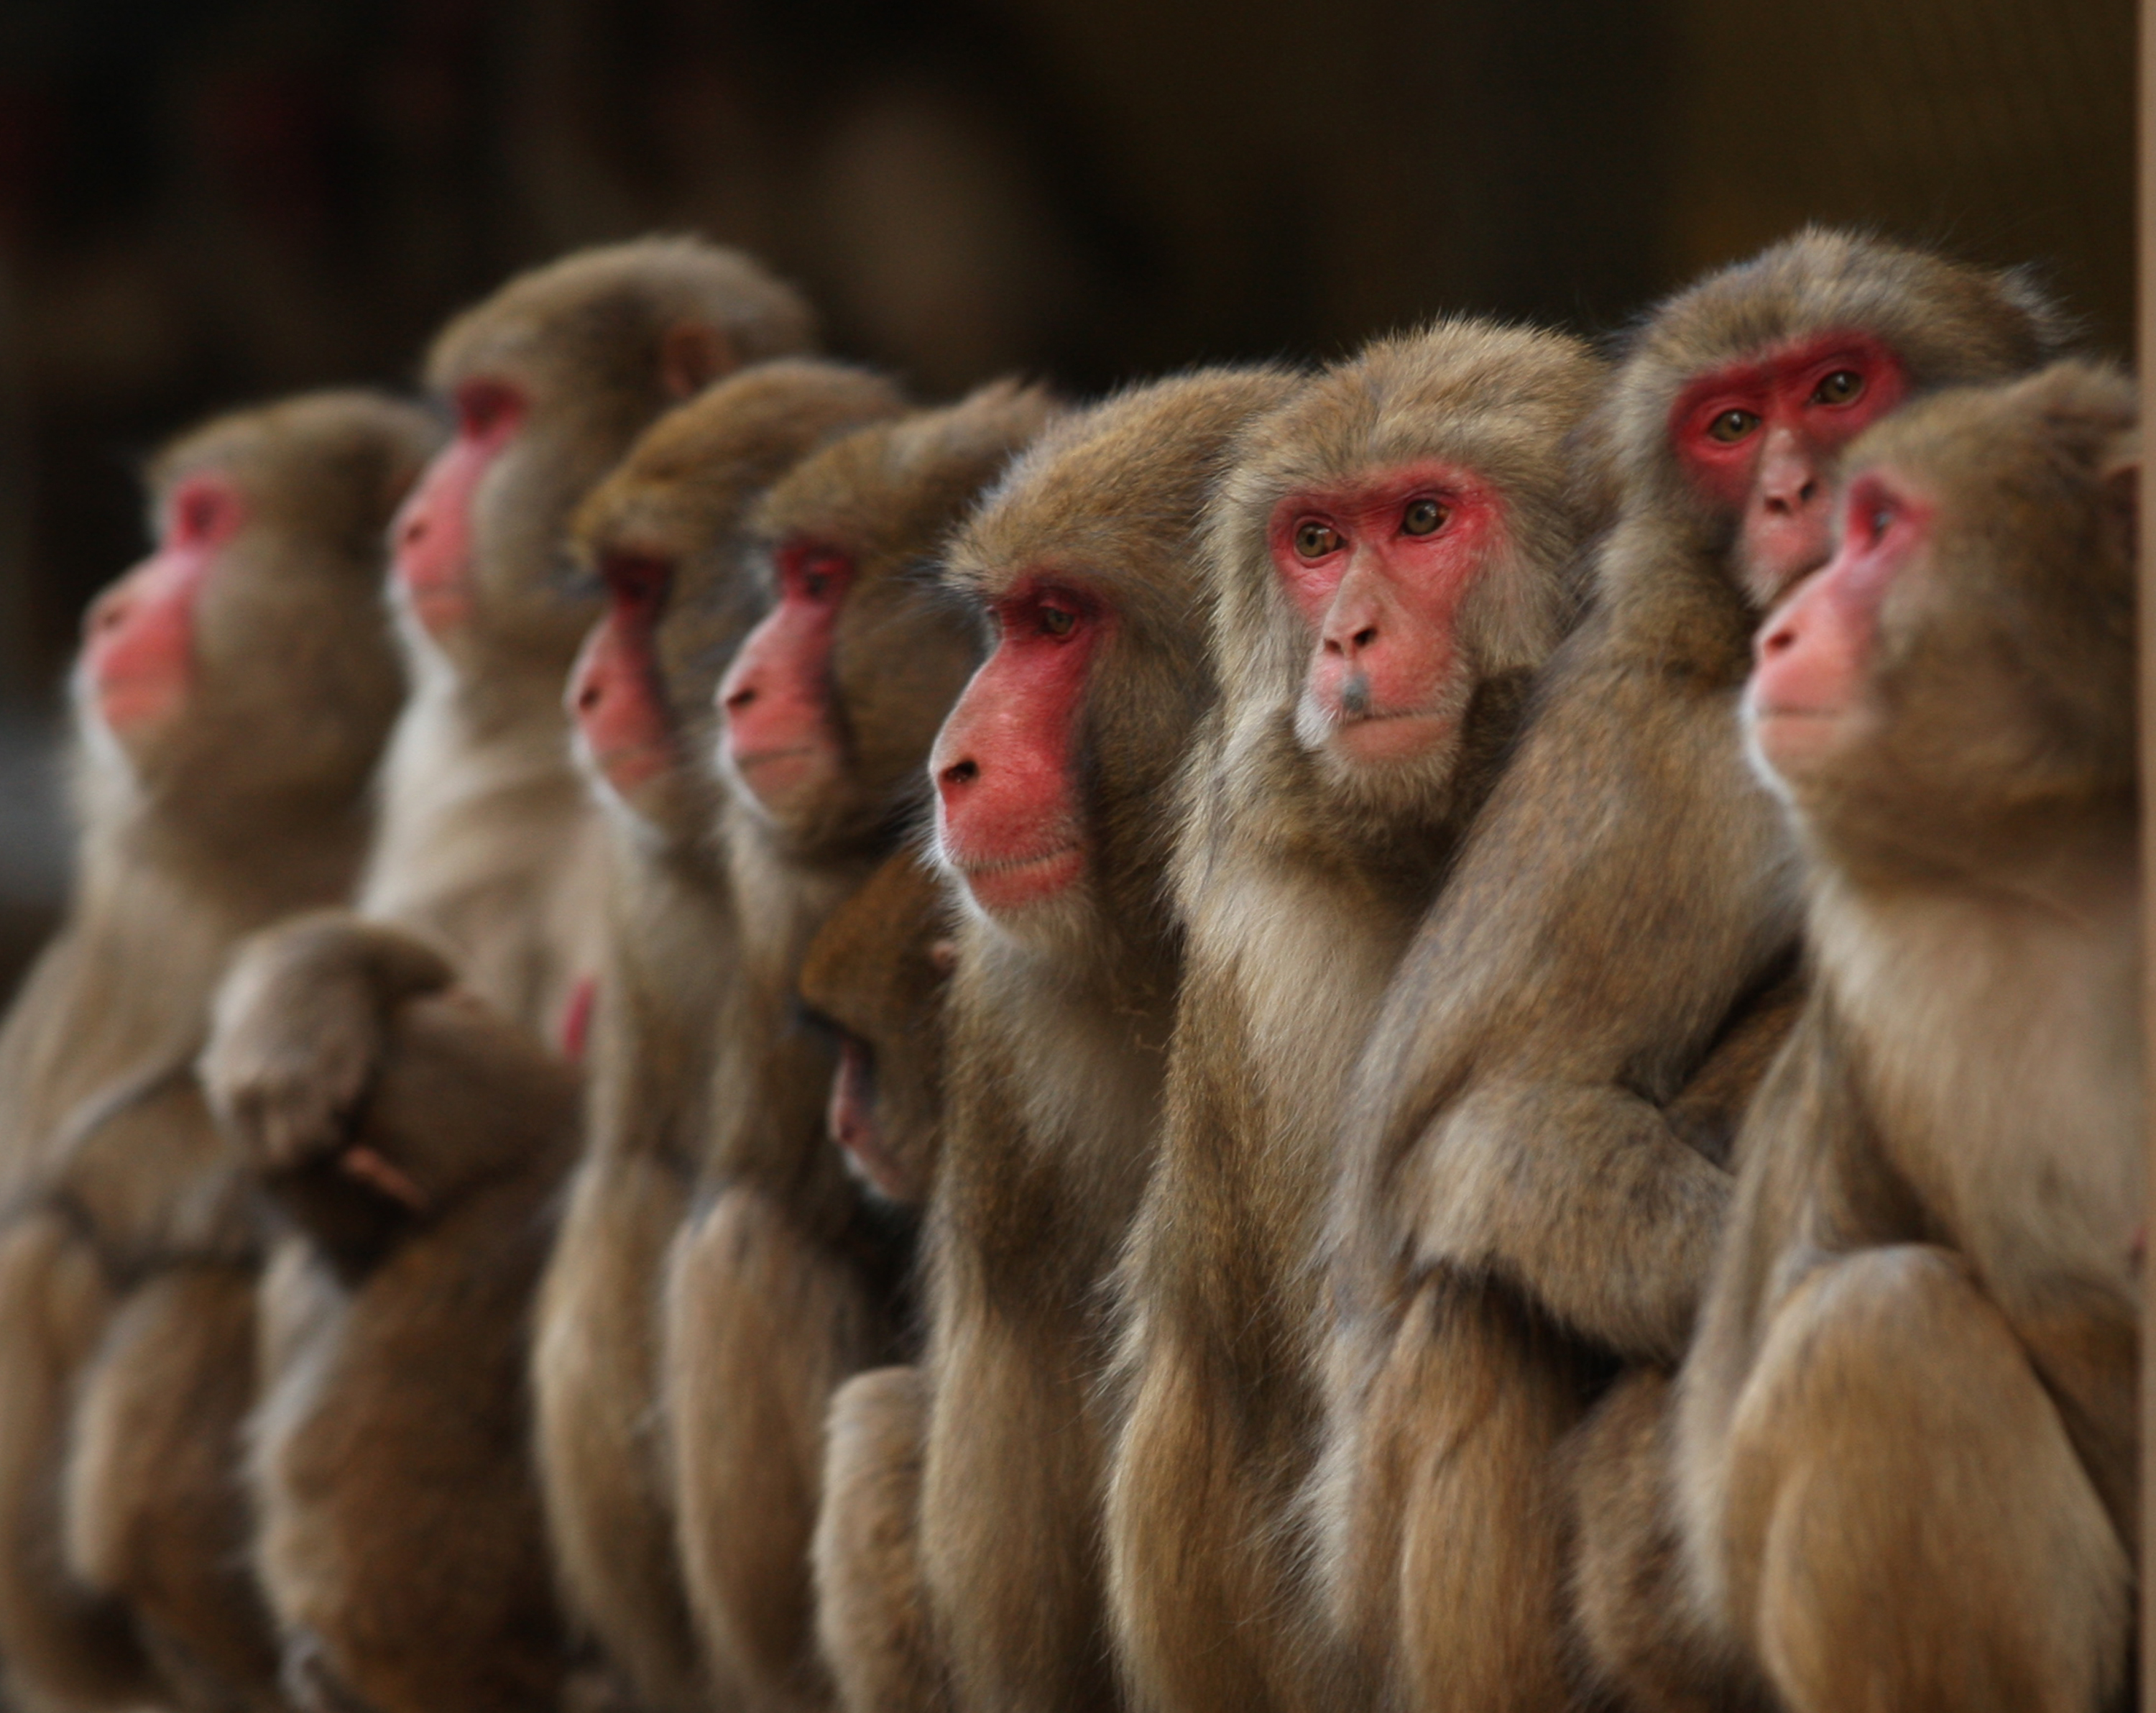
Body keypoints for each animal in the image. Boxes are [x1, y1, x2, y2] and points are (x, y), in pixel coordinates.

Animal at [1315, 229, 2067, 1711]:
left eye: (1837, 385)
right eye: (1728, 427)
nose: (1792, 489)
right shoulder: (1659, 762)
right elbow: (1477, 1119)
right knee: (1475, 1294)